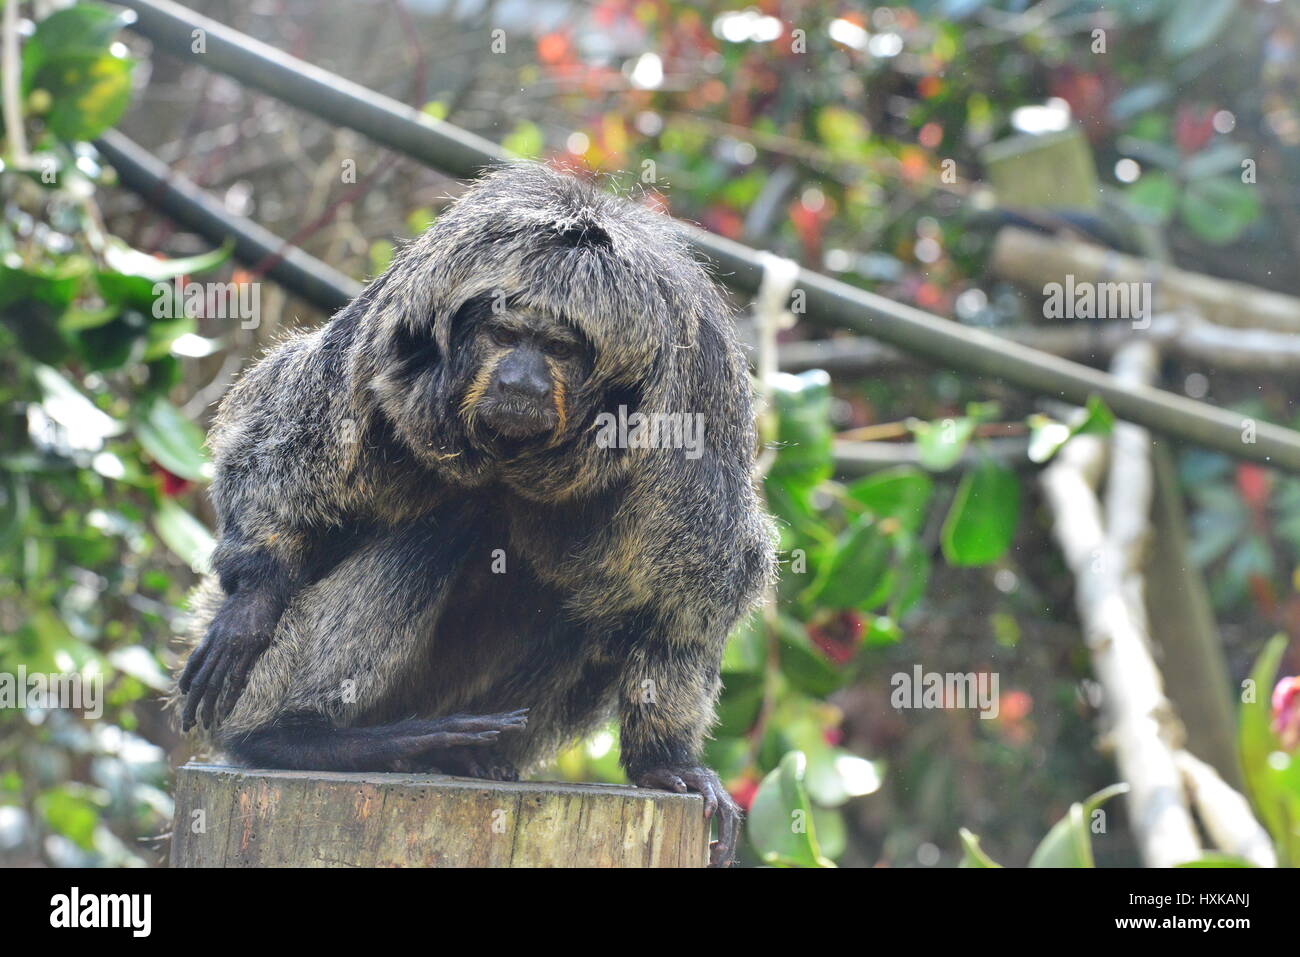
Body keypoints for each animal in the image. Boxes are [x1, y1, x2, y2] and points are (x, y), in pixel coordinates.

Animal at [174, 162, 776, 866]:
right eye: (504, 335)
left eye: (557, 348)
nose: (520, 381)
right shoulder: (389, 337)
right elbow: (282, 429)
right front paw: (256, 592)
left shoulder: (692, 415)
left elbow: (690, 602)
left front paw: (665, 760)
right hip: (259, 683)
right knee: (447, 523)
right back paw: (299, 736)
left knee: (581, 602)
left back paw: (453, 756)